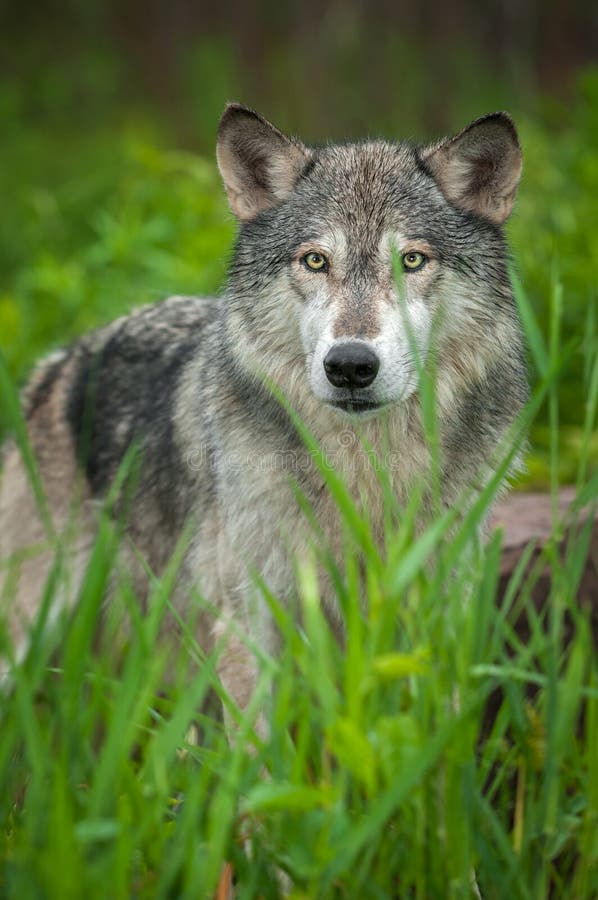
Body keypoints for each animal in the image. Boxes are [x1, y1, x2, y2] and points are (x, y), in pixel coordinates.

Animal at [0, 104, 527, 717]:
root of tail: (58, 364)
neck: (364, 470)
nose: (350, 364)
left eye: (412, 260)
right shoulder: (249, 615)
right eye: (316, 260)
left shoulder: (441, 604)